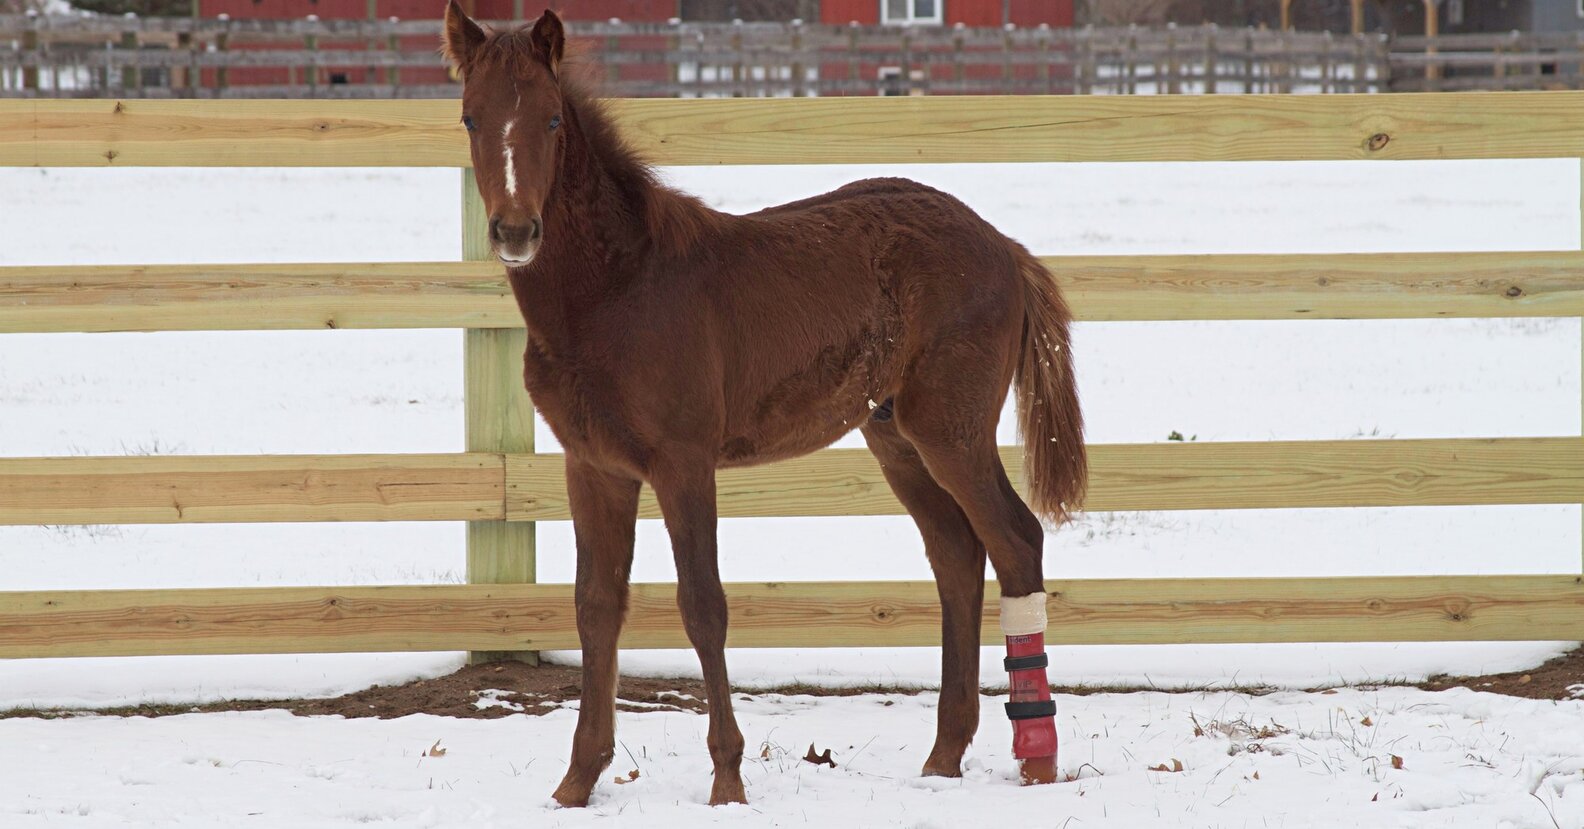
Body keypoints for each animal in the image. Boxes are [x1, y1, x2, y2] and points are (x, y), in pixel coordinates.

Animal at [441, 4, 1087, 807]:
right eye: (470, 117)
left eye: (552, 119)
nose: (515, 231)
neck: (618, 288)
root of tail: (1004, 246)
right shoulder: (594, 466)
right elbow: (596, 606)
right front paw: (576, 781)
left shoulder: (684, 463)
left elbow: (703, 606)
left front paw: (727, 779)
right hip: (896, 437)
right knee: (957, 553)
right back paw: (944, 754)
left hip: (950, 428)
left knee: (1014, 539)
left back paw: (1036, 757)